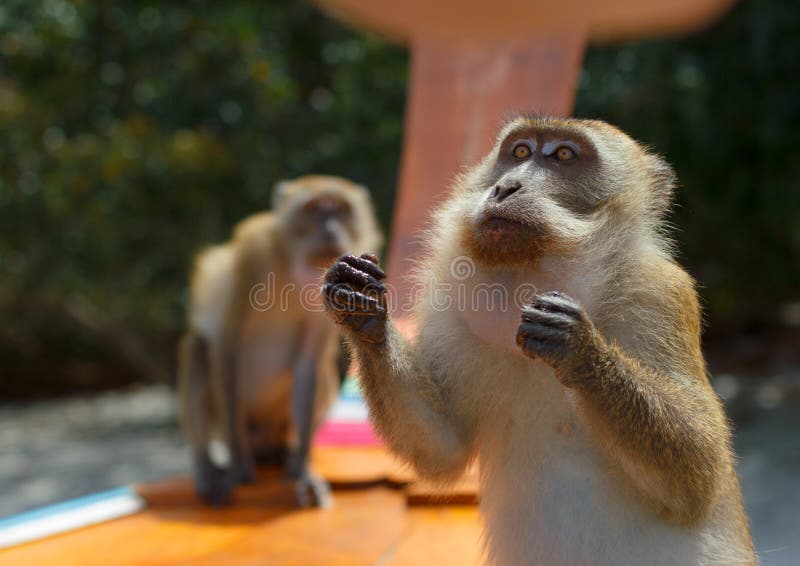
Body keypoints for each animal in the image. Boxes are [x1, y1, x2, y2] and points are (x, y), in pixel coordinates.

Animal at [179, 175, 382, 507]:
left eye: (341, 210)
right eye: (314, 209)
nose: (330, 228)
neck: (296, 269)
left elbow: (308, 365)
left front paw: (303, 472)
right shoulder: (254, 253)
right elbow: (227, 345)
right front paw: (238, 467)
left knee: (323, 372)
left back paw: (291, 453)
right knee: (197, 349)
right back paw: (207, 467)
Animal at [322, 117, 756, 564]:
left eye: (563, 155)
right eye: (519, 152)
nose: (506, 187)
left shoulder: (660, 296)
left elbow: (699, 476)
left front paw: (582, 352)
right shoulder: (449, 307)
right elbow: (445, 448)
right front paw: (363, 307)